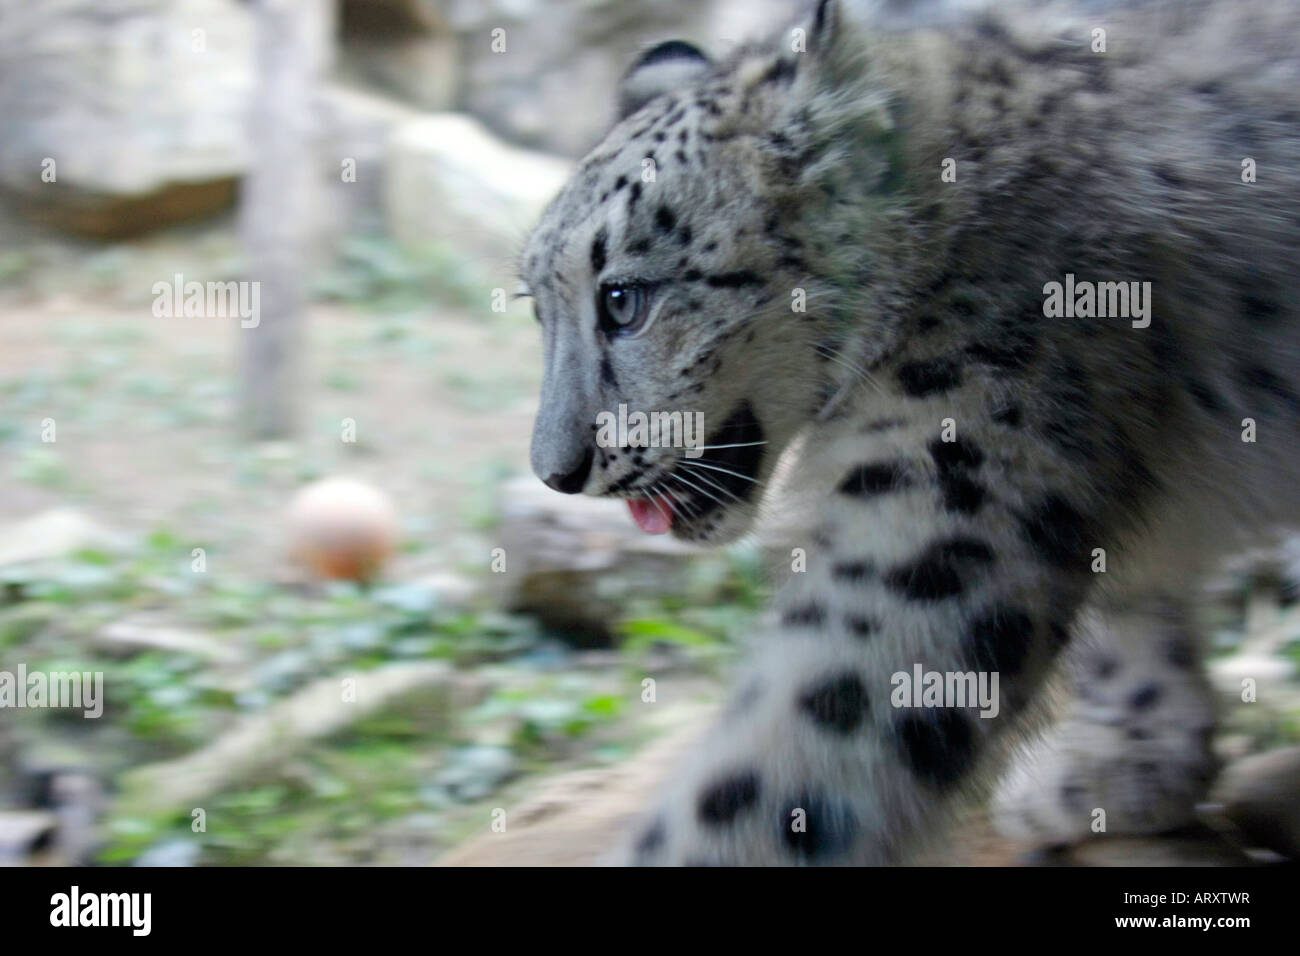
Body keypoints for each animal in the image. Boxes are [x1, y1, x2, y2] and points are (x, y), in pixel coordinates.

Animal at [515, 0, 1300, 865]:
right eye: (535, 308)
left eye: (624, 299)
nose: (555, 471)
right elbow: (1129, 606)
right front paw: (1127, 763)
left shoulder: (943, 510)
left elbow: (778, 764)